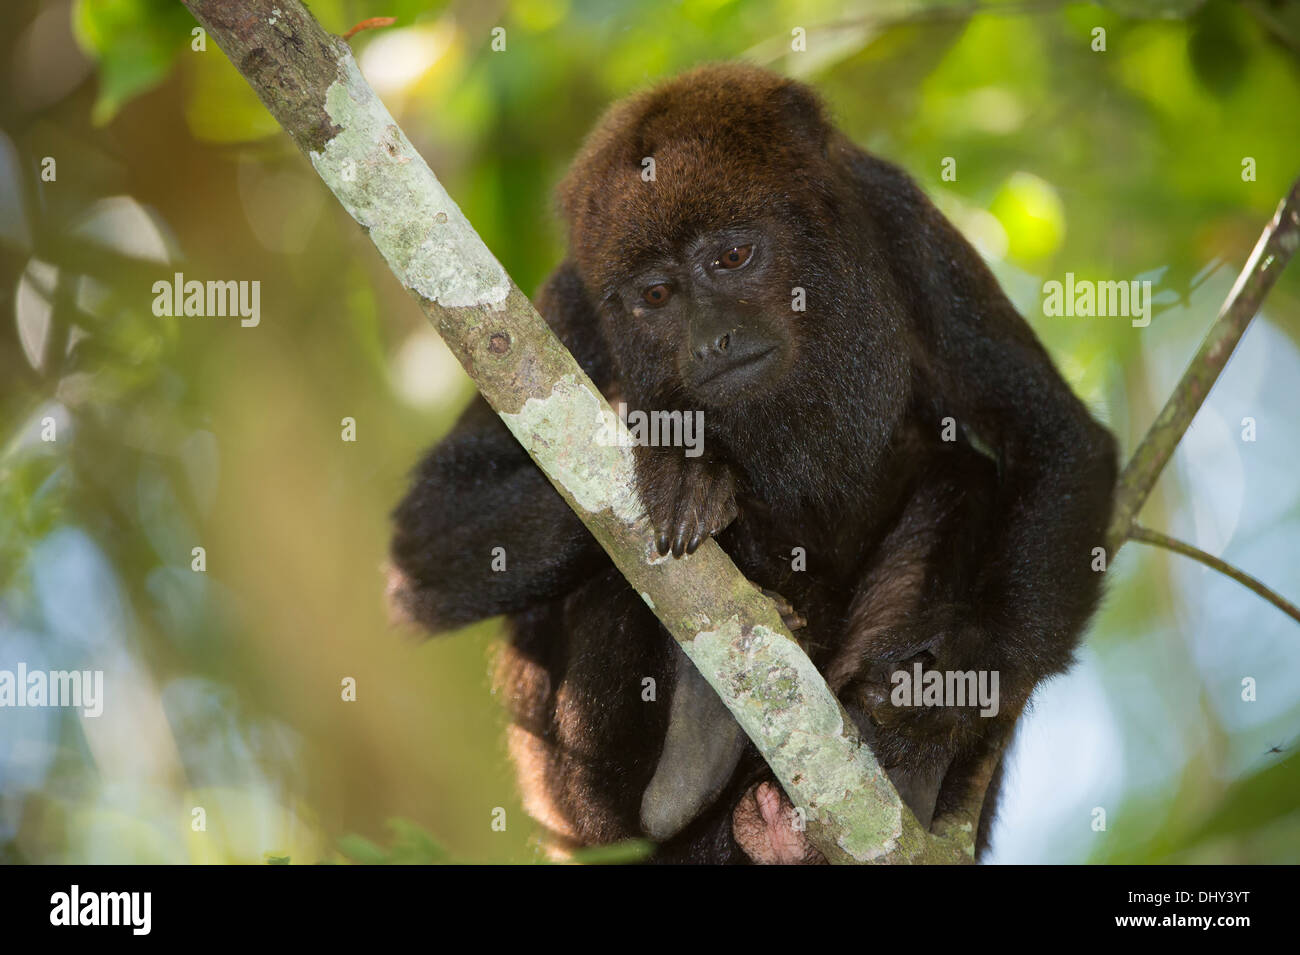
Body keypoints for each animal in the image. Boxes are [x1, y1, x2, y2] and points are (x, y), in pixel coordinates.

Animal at [388, 63, 1118, 863]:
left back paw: (890, 778)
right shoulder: (570, 304)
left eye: (732, 257)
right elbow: (425, 543)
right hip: (574, 811)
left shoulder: (896, 217)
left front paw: (958, 678)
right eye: (656, 295)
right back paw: (689, 752)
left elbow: (1052, 435)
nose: (713, 340)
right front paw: (676, 453)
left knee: (963, 477)